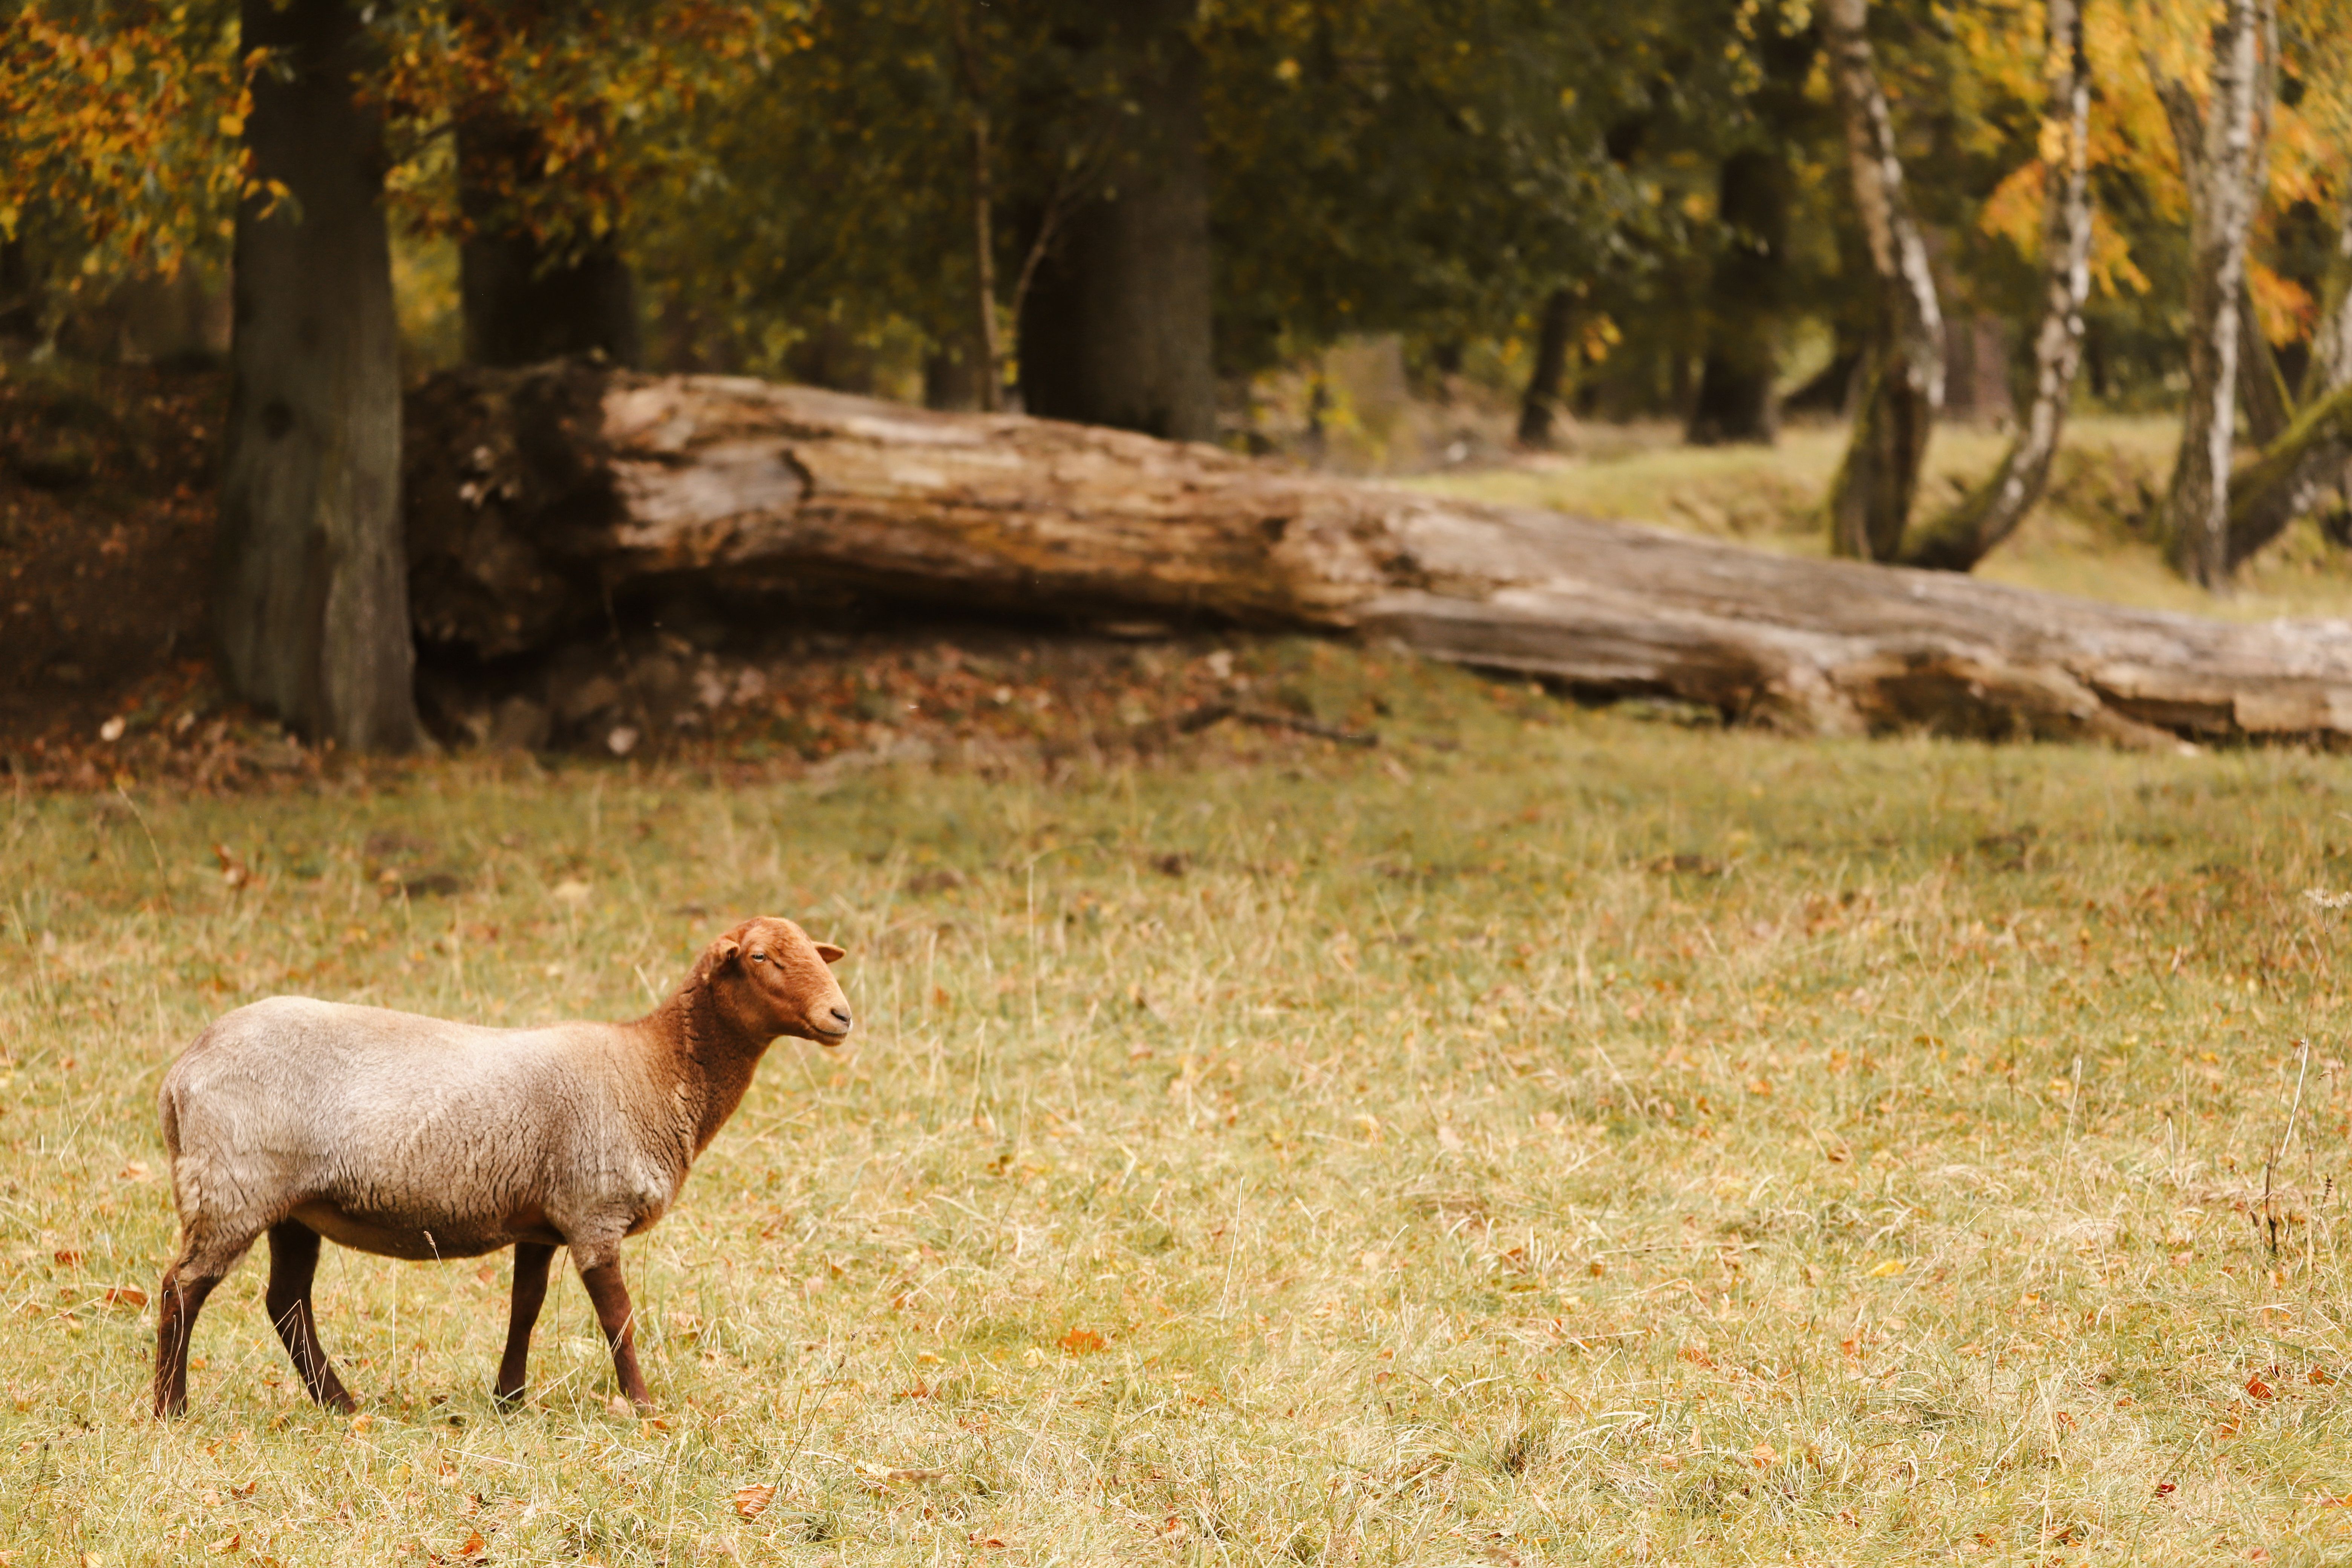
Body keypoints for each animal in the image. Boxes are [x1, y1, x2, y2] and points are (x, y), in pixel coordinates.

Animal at [151, 916, 850, 1418]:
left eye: (817, 954)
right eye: (759, 958)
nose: (842, 1015)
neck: (653, 1068)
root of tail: (182, 1071)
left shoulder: (543, 1221)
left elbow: (526, 1307)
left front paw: (509, 1399)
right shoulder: (594, 1212)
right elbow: (618, 1318)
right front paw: (644, 1406)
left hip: (290, 1205)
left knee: (287, 1304)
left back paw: (340, 1406)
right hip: (231, 1186)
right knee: (182, 1288)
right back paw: (170, 1407)